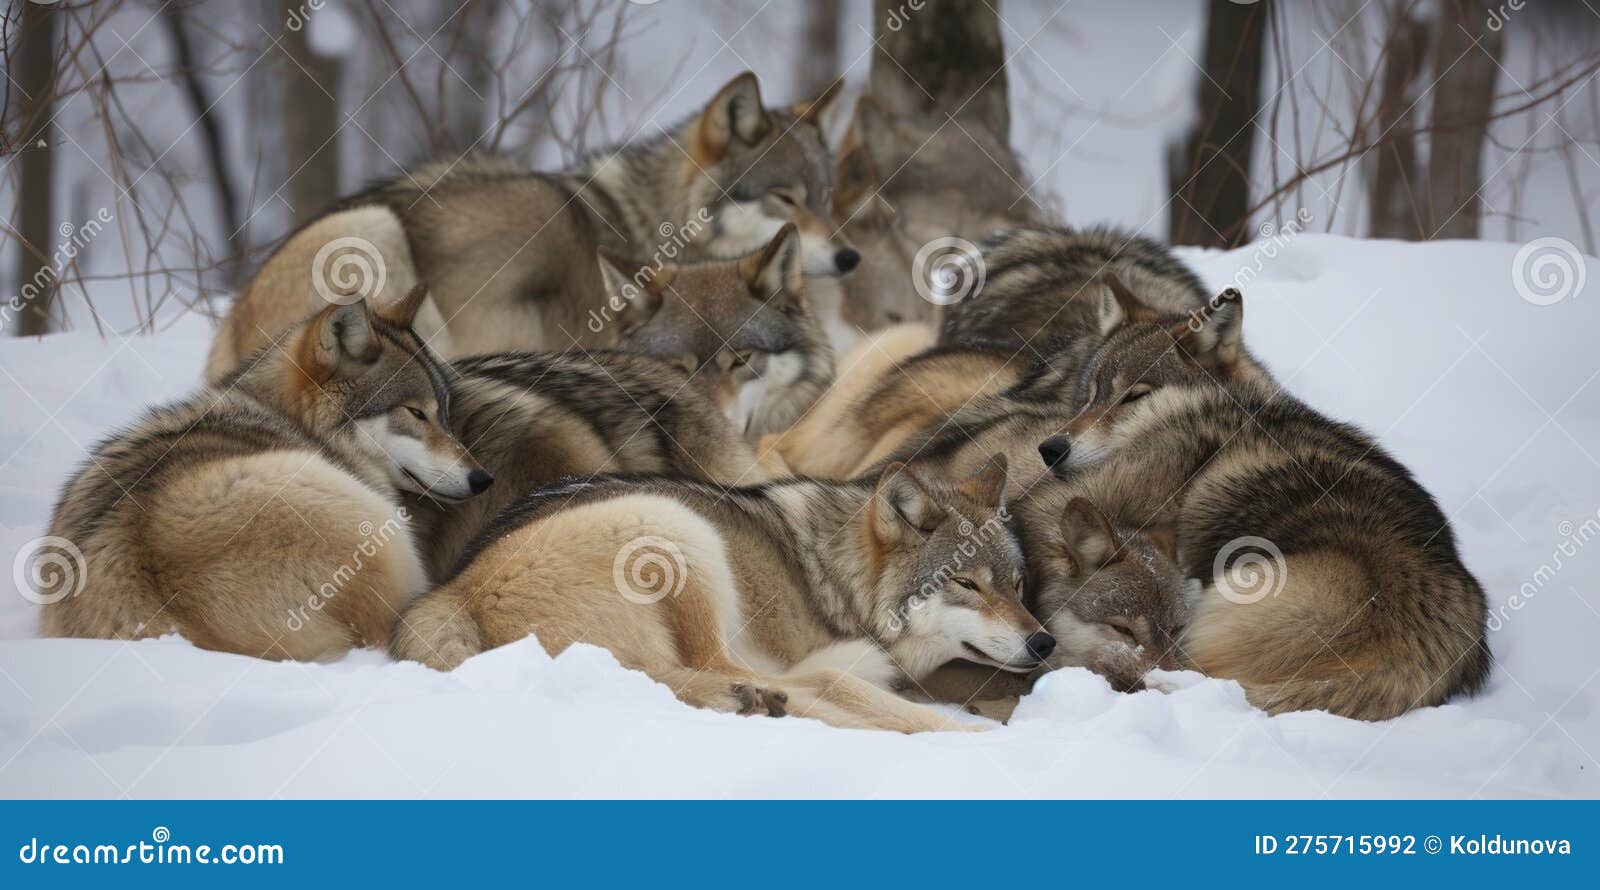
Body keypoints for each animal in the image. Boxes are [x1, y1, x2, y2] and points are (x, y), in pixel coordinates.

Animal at [39, 287, 490, 661]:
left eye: (444, 413)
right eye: (416, 413)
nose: (483, 479)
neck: (293, 422)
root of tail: (183, 624)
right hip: (357, 513)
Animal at [206, 73, 849, 436]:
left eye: (826, 195)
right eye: (786, 197)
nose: (849, 259)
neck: (650, 219)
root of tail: (232, 325)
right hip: (375, 229)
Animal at [391, 456, 1055, 732]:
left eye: (1017, 584)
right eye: (967, 583)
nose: (1043, 642)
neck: (838, 582)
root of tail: (454, 592)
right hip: (675, 529)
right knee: (793, 682)